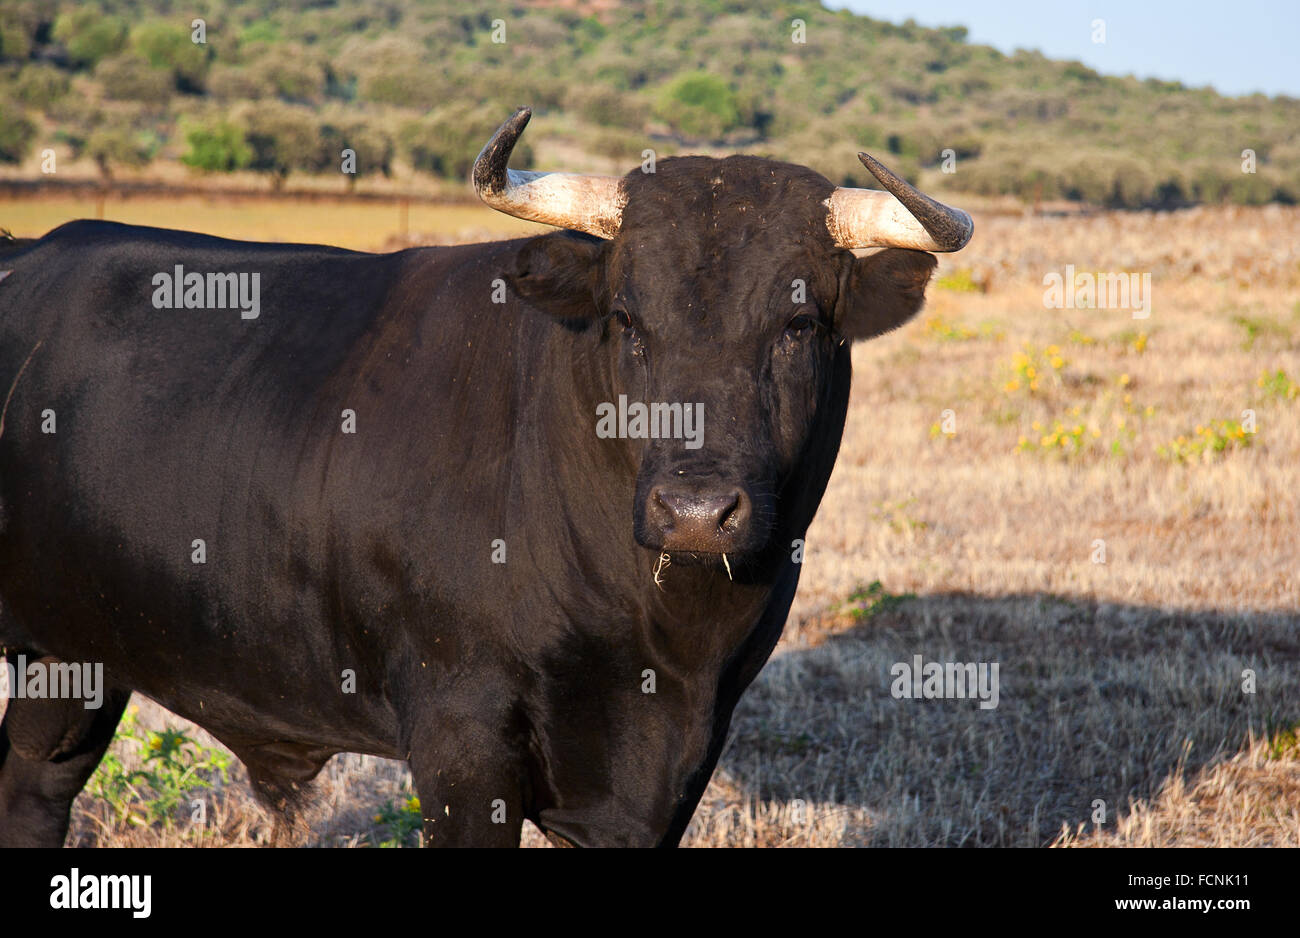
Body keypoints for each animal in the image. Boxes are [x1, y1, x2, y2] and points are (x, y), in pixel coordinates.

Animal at [0, 107, 971, 847]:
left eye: (799, 322)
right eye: (626, 316)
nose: (695, 511)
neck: (663, 634)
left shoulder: (672, 767)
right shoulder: (461, 738)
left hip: (74, 656)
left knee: (34, 788)